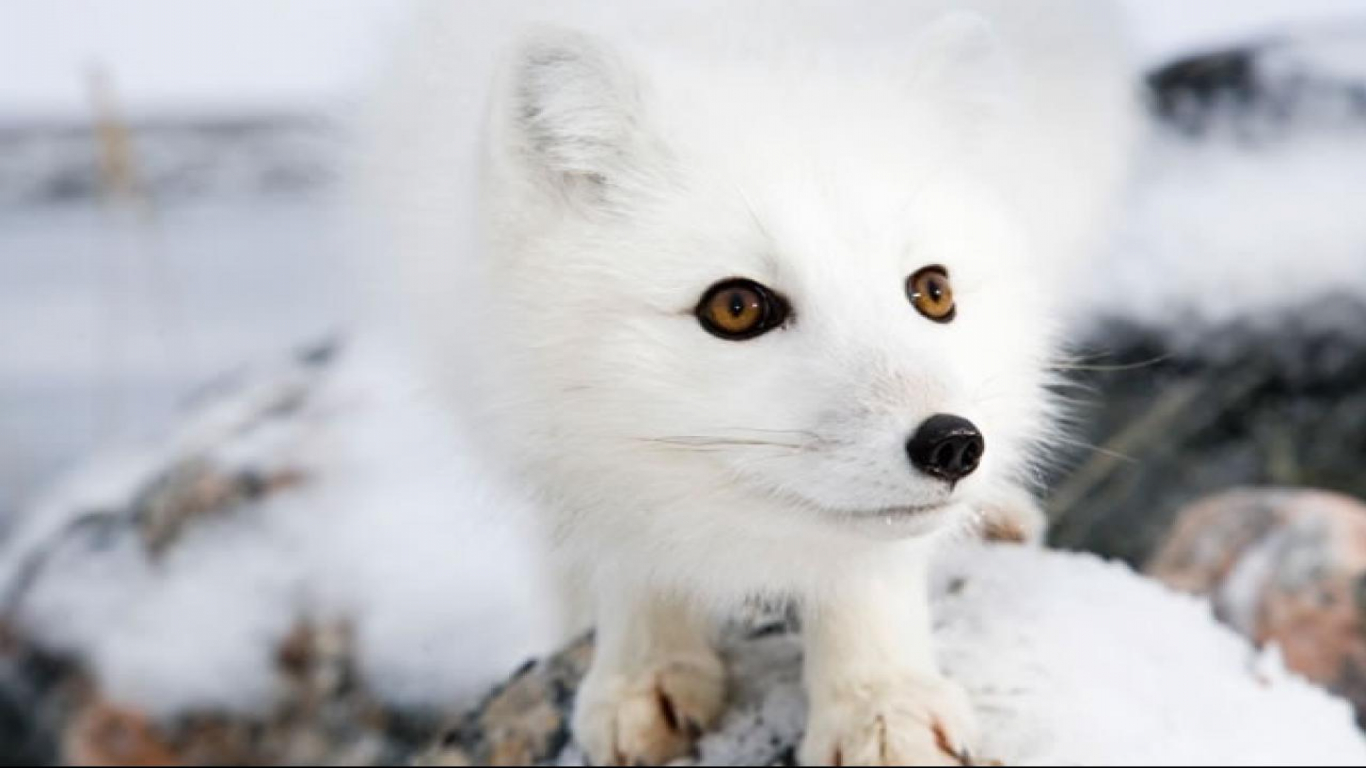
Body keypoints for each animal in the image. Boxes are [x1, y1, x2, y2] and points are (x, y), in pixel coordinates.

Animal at [364, 1, 1136, 764]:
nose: (952, 445)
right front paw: (645, 669)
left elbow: (869, 567)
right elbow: (623, 543)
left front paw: (881, 707)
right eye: (735, 307)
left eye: (934, 292)